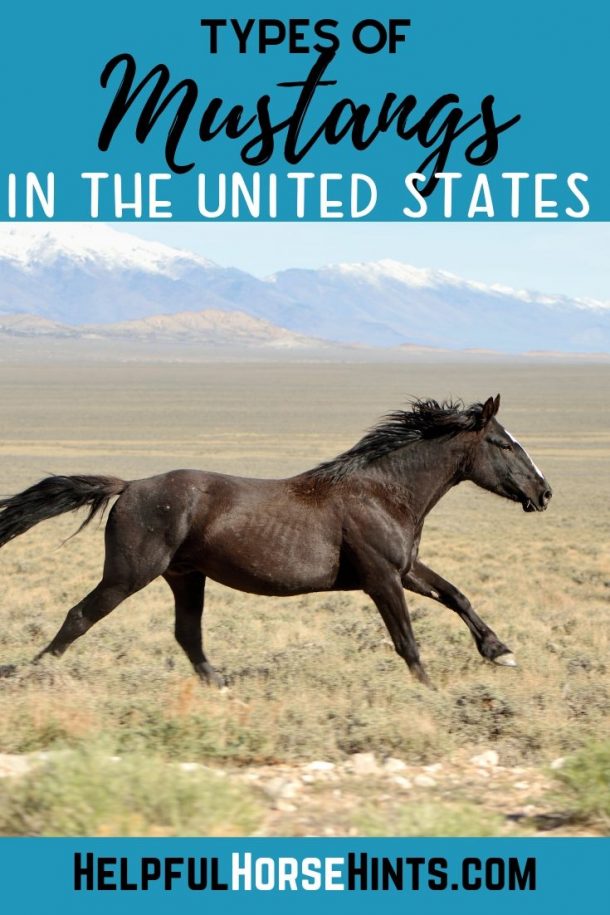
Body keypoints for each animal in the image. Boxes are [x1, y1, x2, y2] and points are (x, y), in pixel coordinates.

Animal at [0, 394, 552, 688]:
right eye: (504, 444)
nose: (544, 493)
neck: (382, 493)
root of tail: (129, 485)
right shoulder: (381, 579)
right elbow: (407, 641)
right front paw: (430, 689)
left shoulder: (406, 569)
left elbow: (457, 595)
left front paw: (500, 651)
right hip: (130, 574)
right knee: (79, 616)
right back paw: (33, 678)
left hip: (185, 577)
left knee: (187, 634)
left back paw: (219, 685)